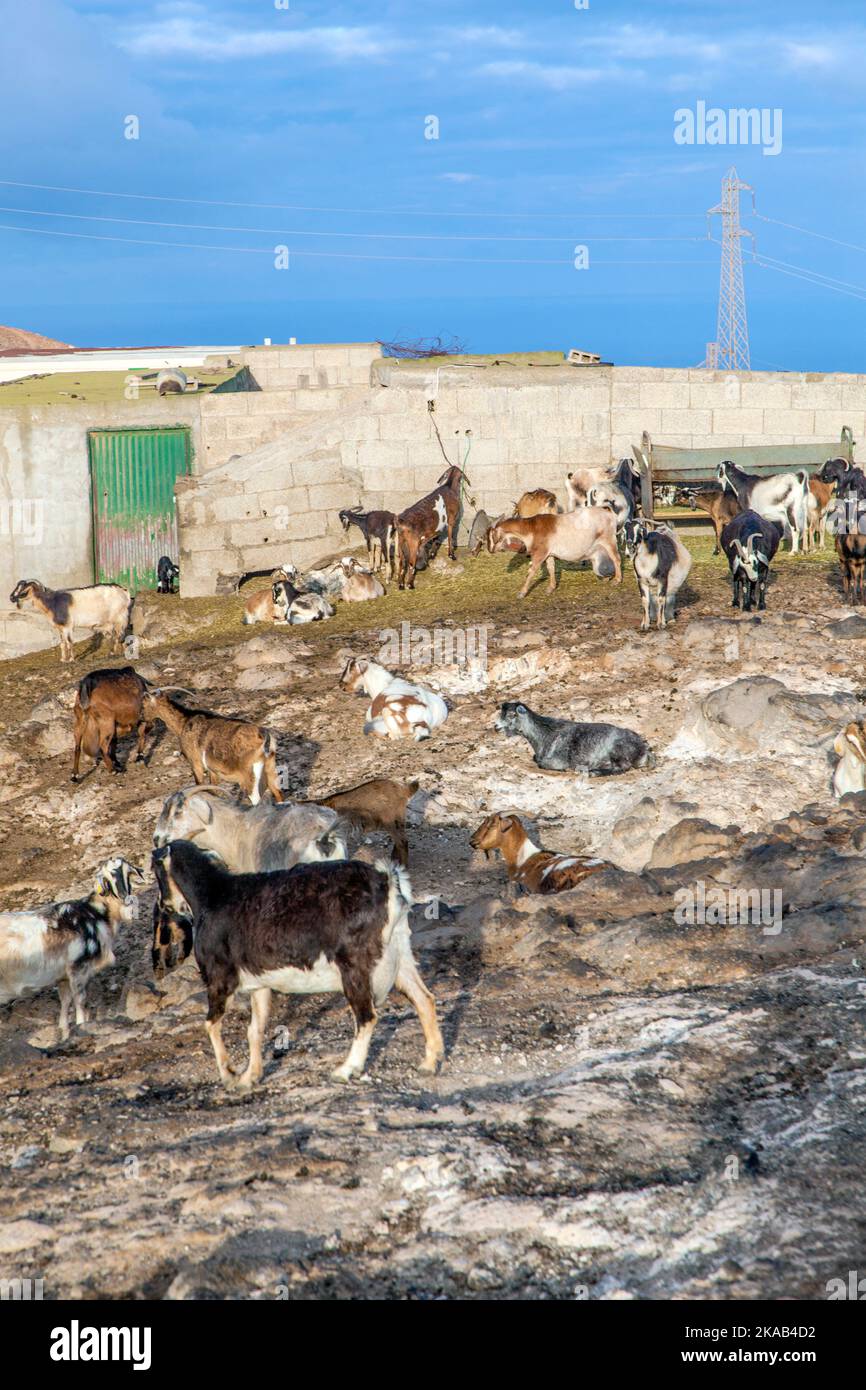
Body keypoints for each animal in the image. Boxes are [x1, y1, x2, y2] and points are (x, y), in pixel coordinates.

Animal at [0, 858, 142, 1038]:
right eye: (108, 880)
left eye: (127, 873)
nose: (126, 900)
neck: (96, 914)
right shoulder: (78, 968)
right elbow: (80, 1002)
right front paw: (81, 1026)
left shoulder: (63, 976)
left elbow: (65, 1002)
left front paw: (64, 1033)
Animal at [142, 691, 283, 803]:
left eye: (143, 705)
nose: (143, 723)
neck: (183, 723)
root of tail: (265, 737)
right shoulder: (213, 770)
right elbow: (212, 789)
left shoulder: (196, 763)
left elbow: (200, 785)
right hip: (270, 767)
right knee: (278, 793)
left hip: (251, 773)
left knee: (256, 799)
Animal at [152, 841, 444, 1088]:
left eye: (157, 873)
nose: (165, 906)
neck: (212, 896)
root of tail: (387, 881)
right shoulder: (260, 982)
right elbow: (254, 1030)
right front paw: (249, 1077)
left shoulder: (219, 977)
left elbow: (211, 1024)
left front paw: (229, 1074)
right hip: (399, 952)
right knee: (424, 998)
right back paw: (430, 1062)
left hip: (354, 964)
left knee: (367, 1016)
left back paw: (345, 1070)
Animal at [487, 508, 621, 596]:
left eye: (490, 536)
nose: (490, 550)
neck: (531, 529)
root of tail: (607, 510)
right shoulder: (549, 554)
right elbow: (551, 568)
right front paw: (550, 588)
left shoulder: (540, 553)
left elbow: (531, 571)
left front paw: (522, 592)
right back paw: (607, 578)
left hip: (609, 540)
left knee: (616, 559)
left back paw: (617, 580)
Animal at [495, 700, 652, 775]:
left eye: (511, 715)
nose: (496, 726)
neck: (544, 735)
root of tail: (643, 748)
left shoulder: (558, 760)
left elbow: (542, 764)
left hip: (616, 750)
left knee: (622, 767)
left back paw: (593, 772)